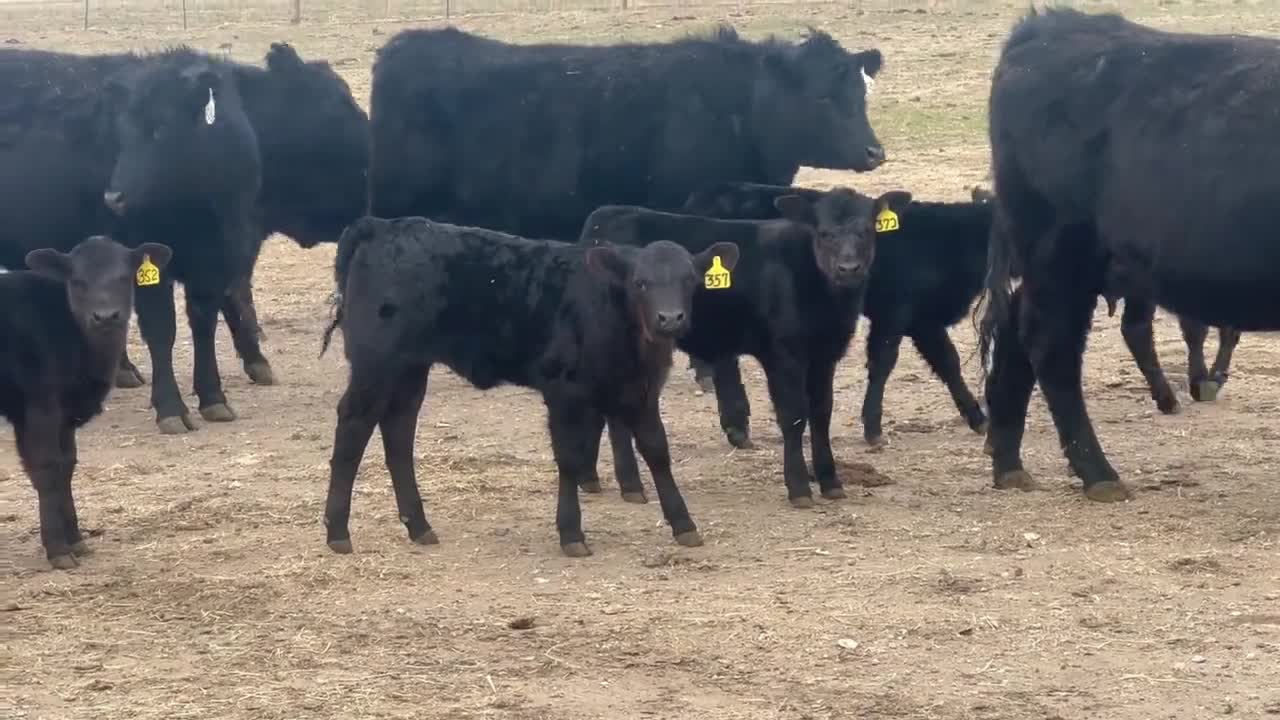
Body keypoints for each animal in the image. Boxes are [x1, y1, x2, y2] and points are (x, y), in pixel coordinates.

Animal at [0, 47, 263, 435]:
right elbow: (162, 331)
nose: (114, 197)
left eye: (160, 129)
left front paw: (213, 398)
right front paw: (171, 408)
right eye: (121, 135)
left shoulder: (213, 261)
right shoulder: (148, 263)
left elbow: (203, 324)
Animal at [1, 236, 172, 569]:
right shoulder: (39, 407)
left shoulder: (64, 414)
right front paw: (58, 549)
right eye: (78, 281)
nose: (105, 316)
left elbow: (66, 465)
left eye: (124, 277)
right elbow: (47, 468)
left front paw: (76, 540)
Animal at [318, 216, 739, 558]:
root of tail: (380, 226)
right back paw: (338, 531)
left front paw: (683, 524)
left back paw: (418, 525)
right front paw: (571, 533)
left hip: (409, 369)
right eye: (641, 283)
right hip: (376, 364)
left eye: (690, 280)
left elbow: (657, 451)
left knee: (398, 431)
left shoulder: (641, 391)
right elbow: (569, 458)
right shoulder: (564, 393)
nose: (670, 318)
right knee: (354, 425)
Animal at [578, 188, 912, 507]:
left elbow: (821, 413)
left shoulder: (824, 355)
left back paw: (607, 482)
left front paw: (831, 482)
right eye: (824, 232)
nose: (848, 268)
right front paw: (799, 488)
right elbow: (793, 416)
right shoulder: (783, 355)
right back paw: (627, 484)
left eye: (866, 230)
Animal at [979, 7, 1280, 502]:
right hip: (1062, 256)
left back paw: (1009, 464)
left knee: (1017, 335)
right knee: (1051, 347)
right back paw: (1098, 473)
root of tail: (1050, 26)